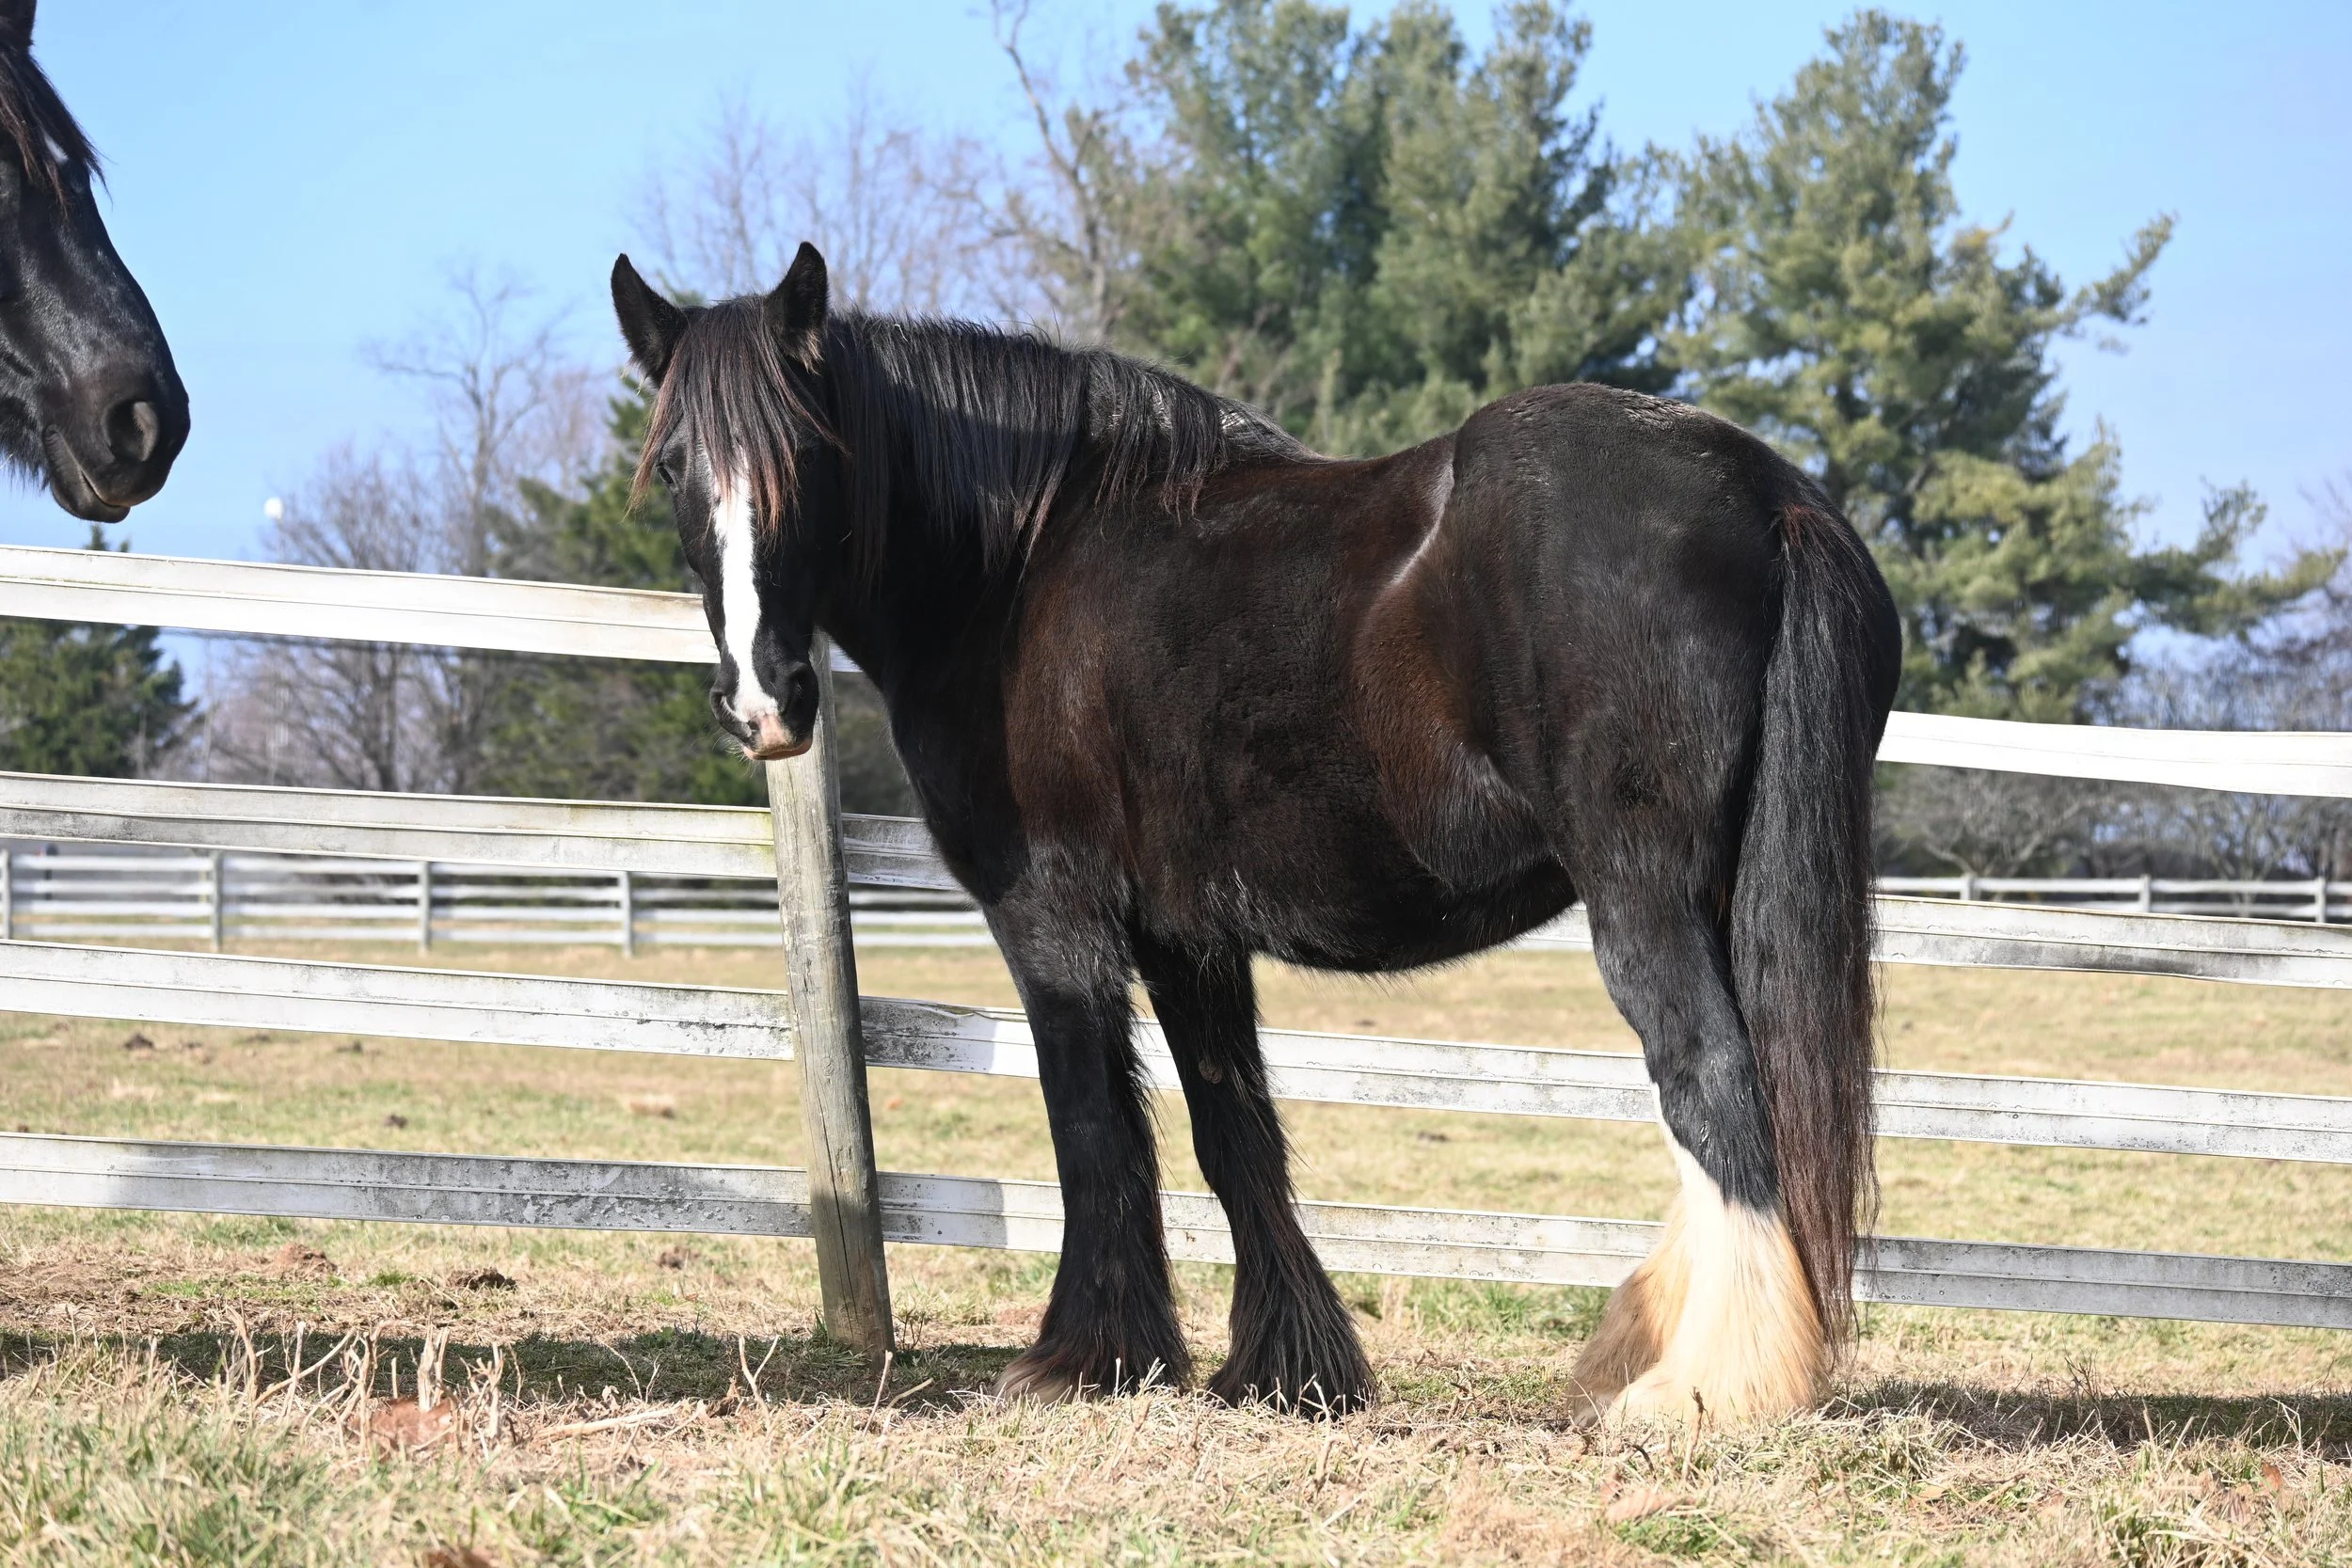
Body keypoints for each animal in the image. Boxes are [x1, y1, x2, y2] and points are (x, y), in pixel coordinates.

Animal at [609, 242, 1901, 1424]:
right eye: (673, 466)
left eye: (807, 457)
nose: (764, 702)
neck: (1021, 560)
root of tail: (1770, 497)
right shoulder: (1189, 935)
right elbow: (1234, 1132)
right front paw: (1288, 1368)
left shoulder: (1053, 917)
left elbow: (1091, 1121)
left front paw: (1083, 1357)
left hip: (1642, 896)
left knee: (1711, 1081)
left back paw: (1704, 1388)